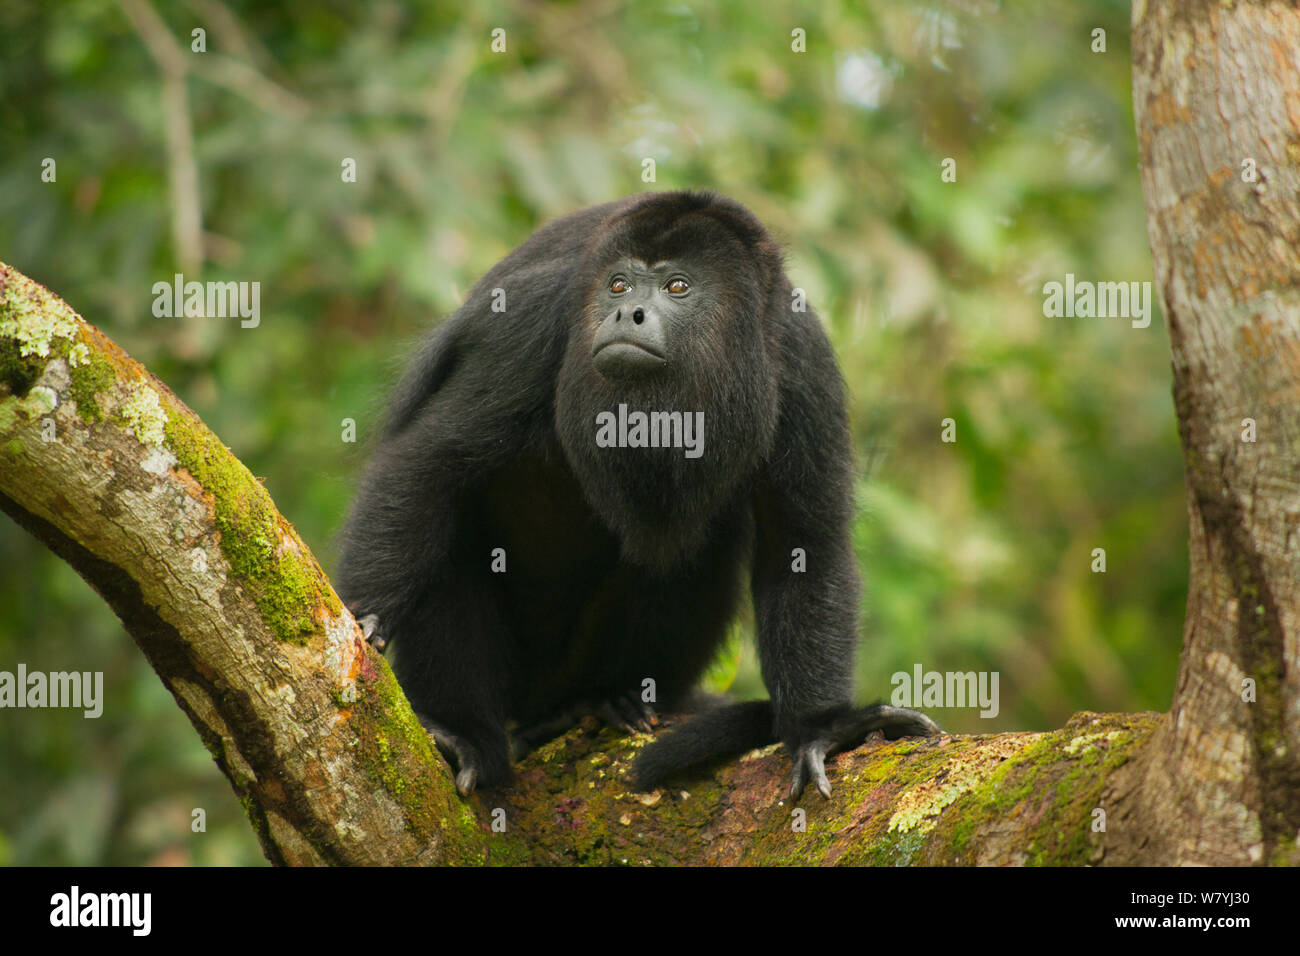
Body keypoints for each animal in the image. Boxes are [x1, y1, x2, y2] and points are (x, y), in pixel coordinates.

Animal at [336, 190, 939, 799]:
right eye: (619, 285)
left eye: (677, 286)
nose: (627, 313)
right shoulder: (530, 325)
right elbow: (428, 466)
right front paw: (366, 618)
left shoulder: (802, 358)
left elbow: (804, 539)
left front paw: (824, 726)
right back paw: (466, 733)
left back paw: (606, 700)